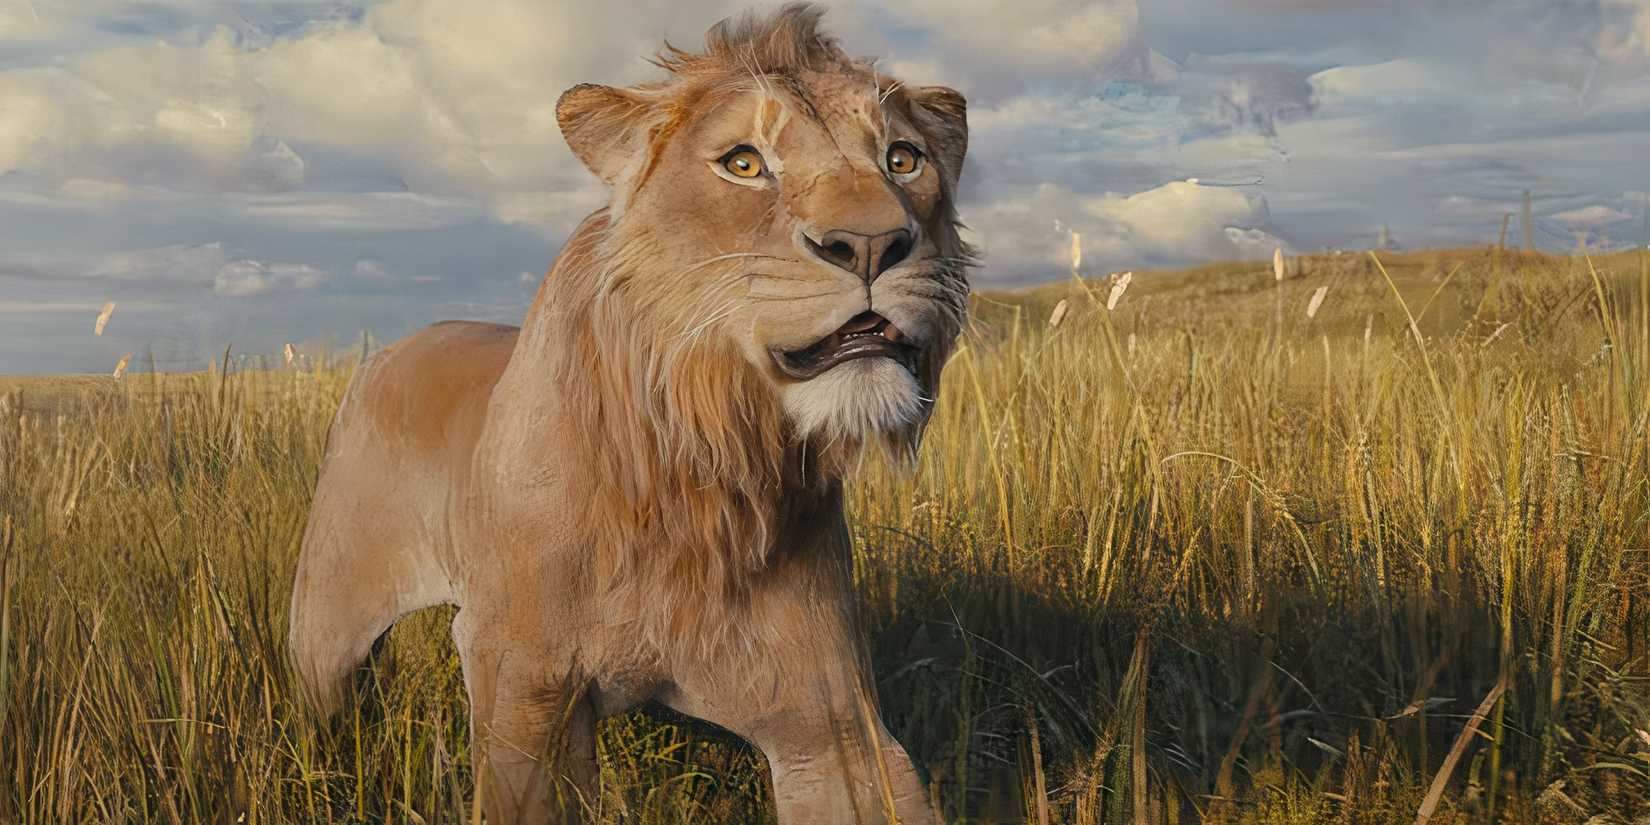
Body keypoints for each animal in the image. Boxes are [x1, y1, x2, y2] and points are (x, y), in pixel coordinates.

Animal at [288, 4, 971, 822]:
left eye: (903, 159)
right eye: (744, 164)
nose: (872, 242)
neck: (696, 468)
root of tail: (390, 348)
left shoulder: (833, 717)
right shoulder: (519, 677)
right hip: (325, 635)